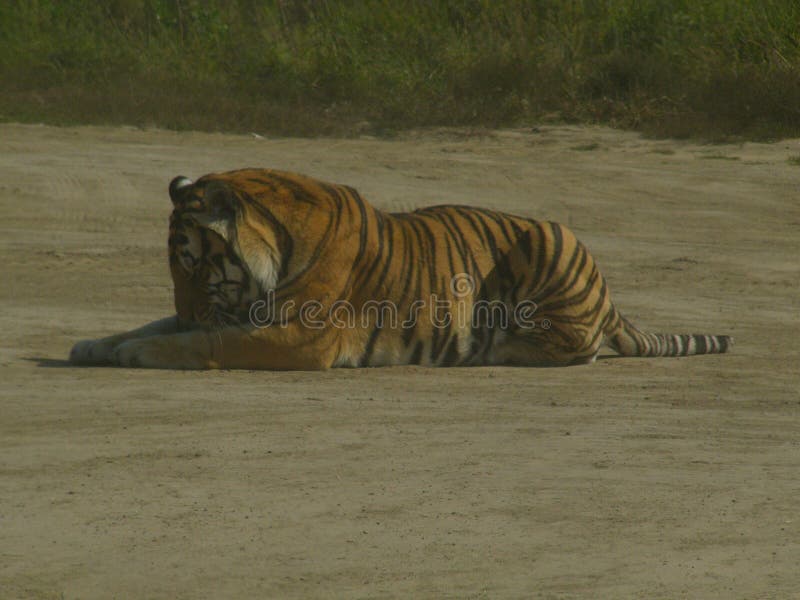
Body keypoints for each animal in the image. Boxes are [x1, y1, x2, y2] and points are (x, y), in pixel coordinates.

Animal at [69, 168, 732, 370]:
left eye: (188, 263)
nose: (185, 308)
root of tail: (611, 297)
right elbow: (156, 326)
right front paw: (94, 344)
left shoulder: (299, 336)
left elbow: (208, 342)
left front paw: (135, 353)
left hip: (550, 235)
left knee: (577, 347)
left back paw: (493, 347)